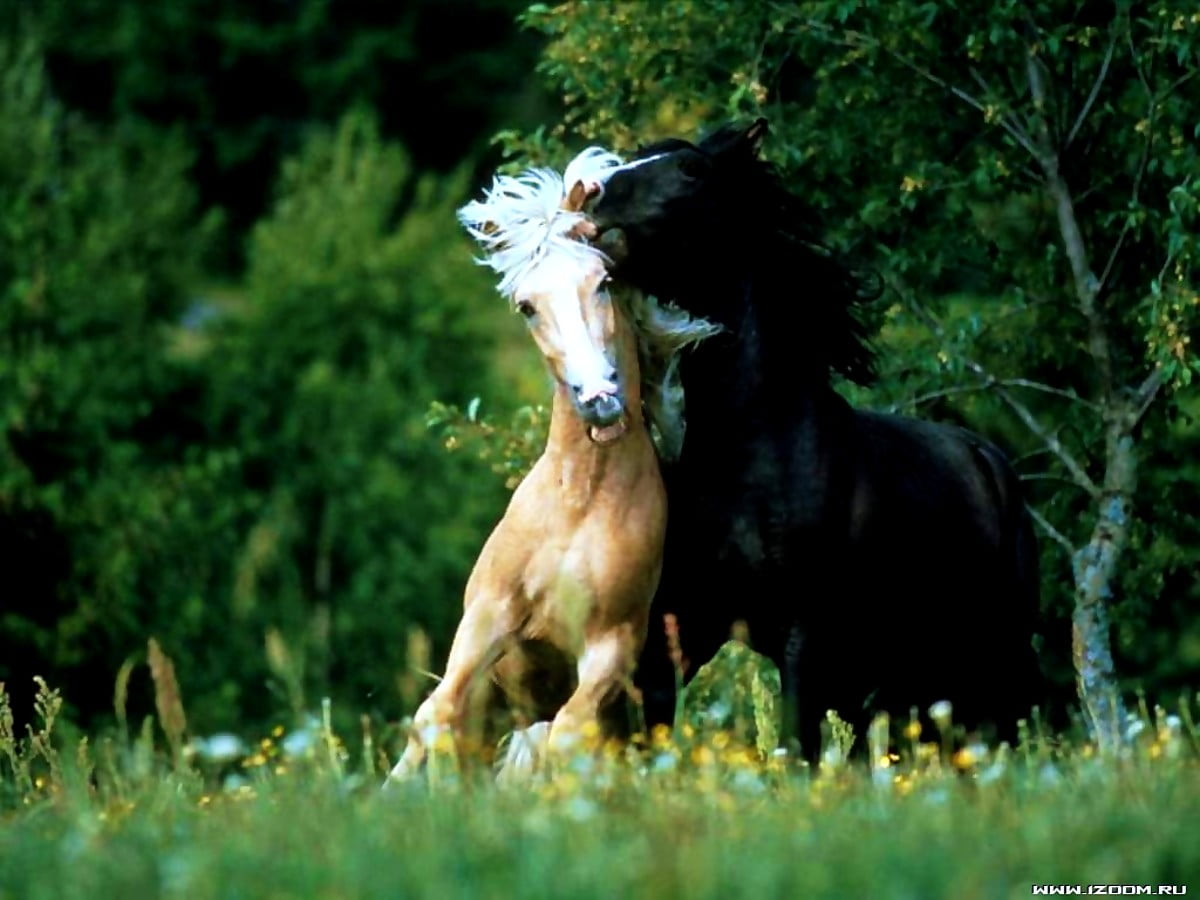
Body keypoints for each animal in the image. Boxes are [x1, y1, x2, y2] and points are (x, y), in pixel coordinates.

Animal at [385, 149, 719, 784]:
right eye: (527, 306)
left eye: (605, 282)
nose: (600, 400)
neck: (578, 504)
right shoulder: (487, 619)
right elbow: (434, 714)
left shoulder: (611, 649)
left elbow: (565, 736)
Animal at [585, 118, 1049, 761]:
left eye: (691, 171)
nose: (592, 201)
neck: (744, 455)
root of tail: (991, 463)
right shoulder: (682, 626)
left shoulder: (802, 638)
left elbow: (794, 750)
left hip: (986, 654)